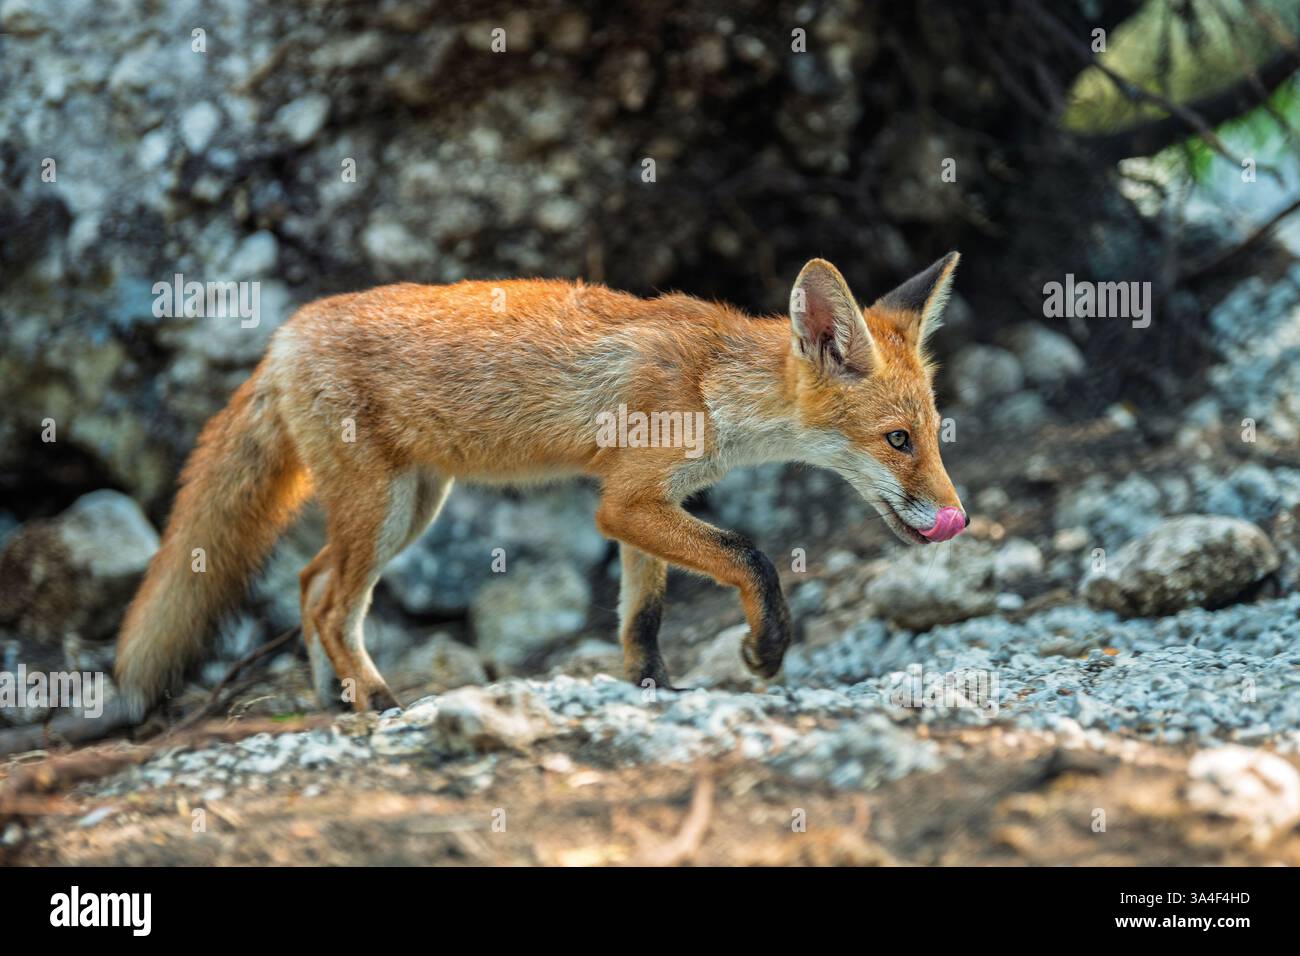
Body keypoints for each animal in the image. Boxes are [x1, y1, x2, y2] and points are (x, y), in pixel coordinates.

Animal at [114, 253, 968, 719]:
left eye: (934, 434)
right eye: (897, 441)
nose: (958, 519)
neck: (709, 382)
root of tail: (285, 333)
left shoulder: (647, 505)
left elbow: (641, 617)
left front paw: (654, 689)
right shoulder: (625, 502)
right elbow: (750, 557)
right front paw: (765, 649)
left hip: (411, 510)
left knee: (310, 581)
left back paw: (336, 698)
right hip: (384, 510)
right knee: (329, 603)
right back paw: (379, 698)